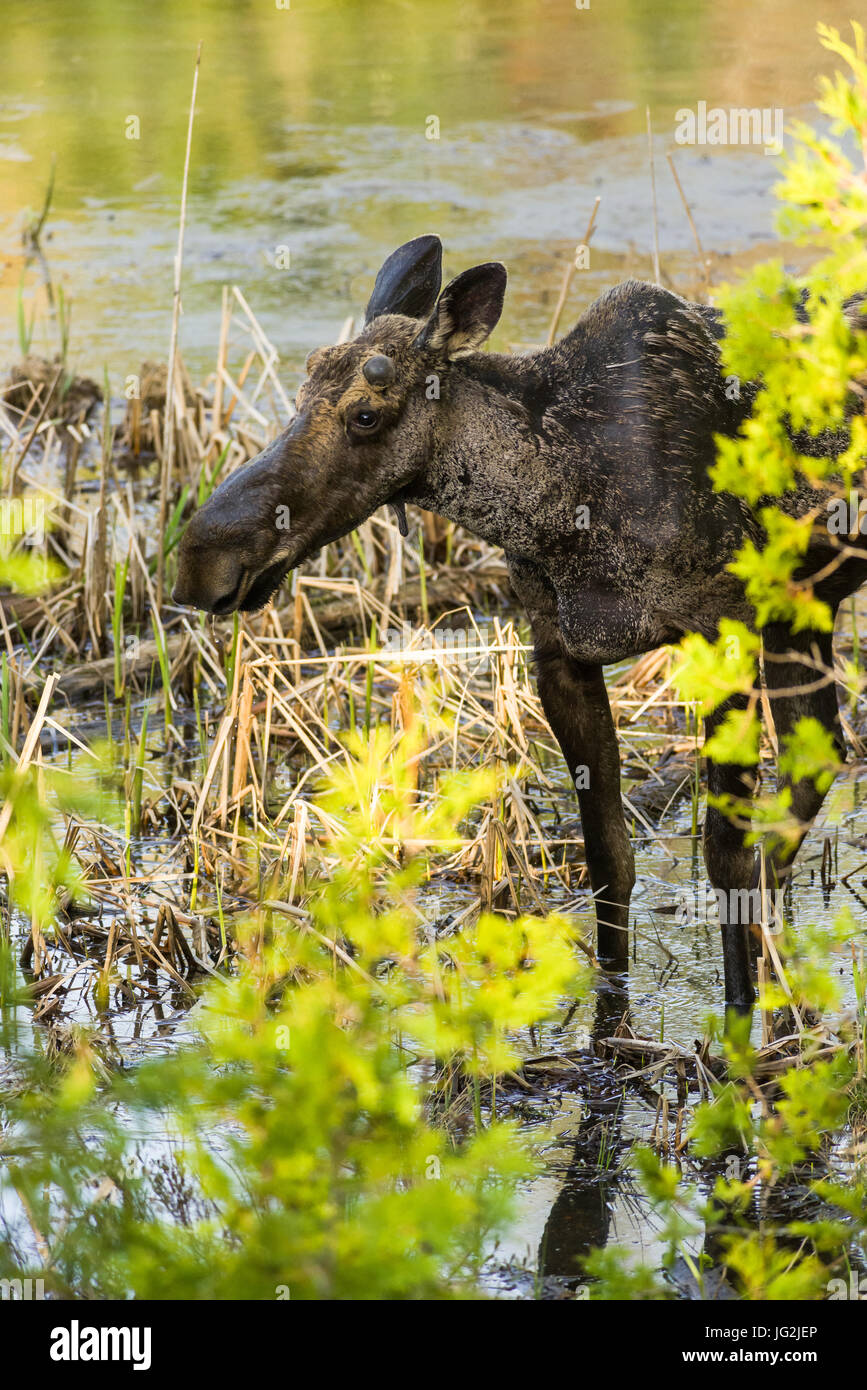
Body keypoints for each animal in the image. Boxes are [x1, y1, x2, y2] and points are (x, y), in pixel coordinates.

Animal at [173, 234, 866, 1009]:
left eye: (366, 414)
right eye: (299, 397)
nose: (202, 559)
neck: (558, 503)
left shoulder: (721, 634)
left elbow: (723, 859)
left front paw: (739, 1009)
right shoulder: (560, 652)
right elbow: (609, 859)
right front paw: (613, 1000)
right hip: (802, 611)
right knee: (822, 756)